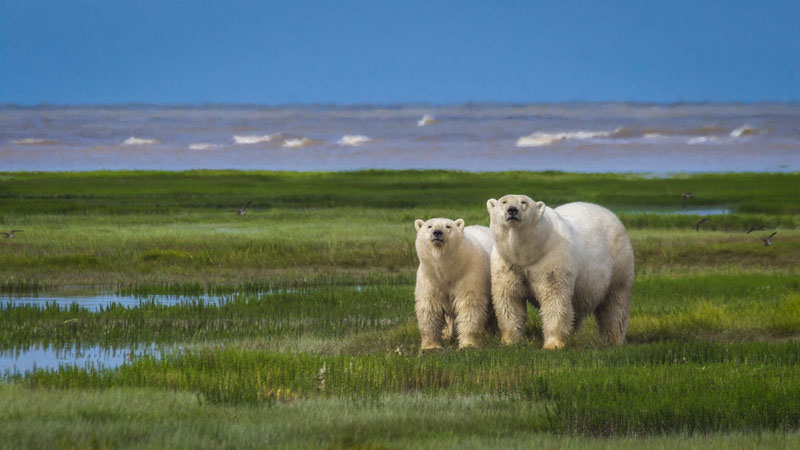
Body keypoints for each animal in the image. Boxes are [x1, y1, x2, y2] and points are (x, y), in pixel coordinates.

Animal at [414, 217, 495, 350]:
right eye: (429, 226)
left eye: (448, 226)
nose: (437, 232)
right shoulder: (430, 278)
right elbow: (429, 307)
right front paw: (431, 346)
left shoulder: (468, 274)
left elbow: (469, 305)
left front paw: (468, 344)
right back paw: (446, 335)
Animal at [486, 195, 634, 349]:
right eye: (504, 201)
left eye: (524, 202)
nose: (512, 210)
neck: (529, 252)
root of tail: (610, 214)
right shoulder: (506, 263)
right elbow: (509, 299)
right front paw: (509, 341)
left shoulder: (552, 259)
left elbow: (554, 298)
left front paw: (553, 344)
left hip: (619, 264)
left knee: (614, 304)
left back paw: (613, 339)